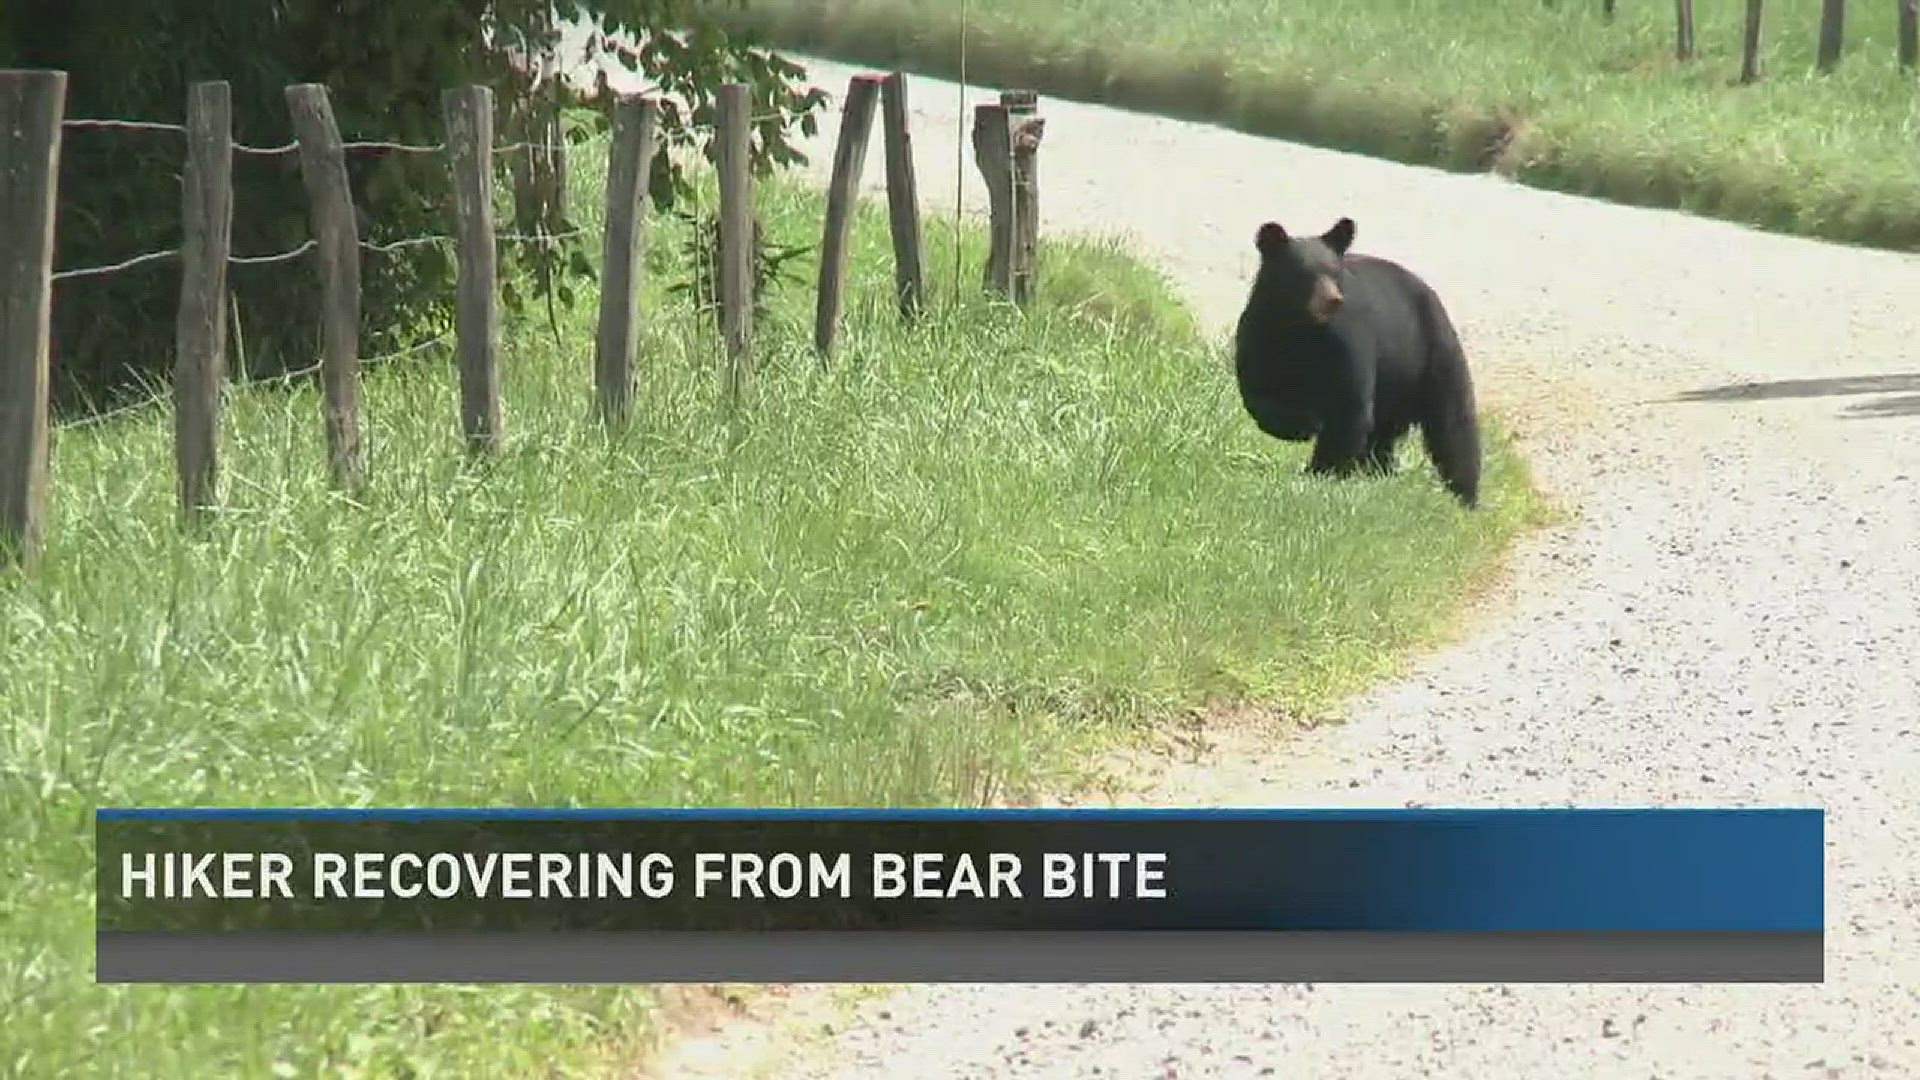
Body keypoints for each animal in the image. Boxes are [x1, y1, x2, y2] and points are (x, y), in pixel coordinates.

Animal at [1232, 217, 1482, 509]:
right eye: (1303, 273)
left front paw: (1323, 471)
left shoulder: (1348, 340)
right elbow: (1258, 391)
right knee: (1383, 438)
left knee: (1454, 426)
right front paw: (1301, 425)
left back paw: (1464, 497)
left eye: (1333, 271)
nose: (1332, 300)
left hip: (1432, 358)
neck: (1300, 327)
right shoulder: (1259, 333)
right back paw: (1381, 472)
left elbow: (1349, 406)